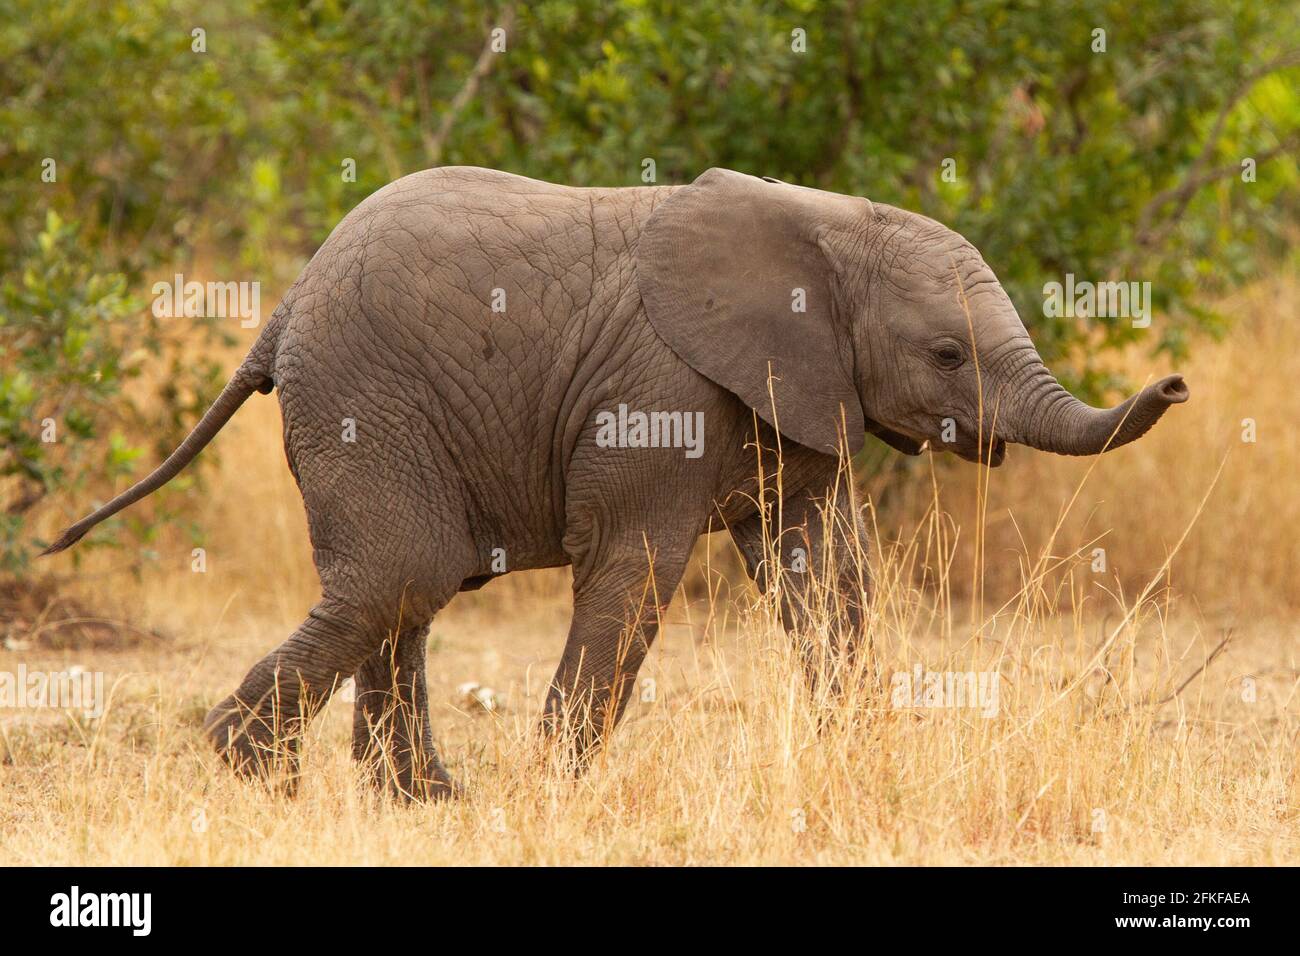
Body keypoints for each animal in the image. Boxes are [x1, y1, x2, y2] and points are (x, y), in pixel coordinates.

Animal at [43, 167, 1188, 799]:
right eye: (948, 354)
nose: (1175, 382)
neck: (821, 225)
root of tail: (283, 306)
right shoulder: (659, 390)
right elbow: (636, 571)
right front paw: (552, 791)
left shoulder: (801, 394)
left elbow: (825, 577)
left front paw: (865, 763)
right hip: (365, 396)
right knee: (401, 576)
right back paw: (253, 774)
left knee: (404, 591)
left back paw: (420, 802)